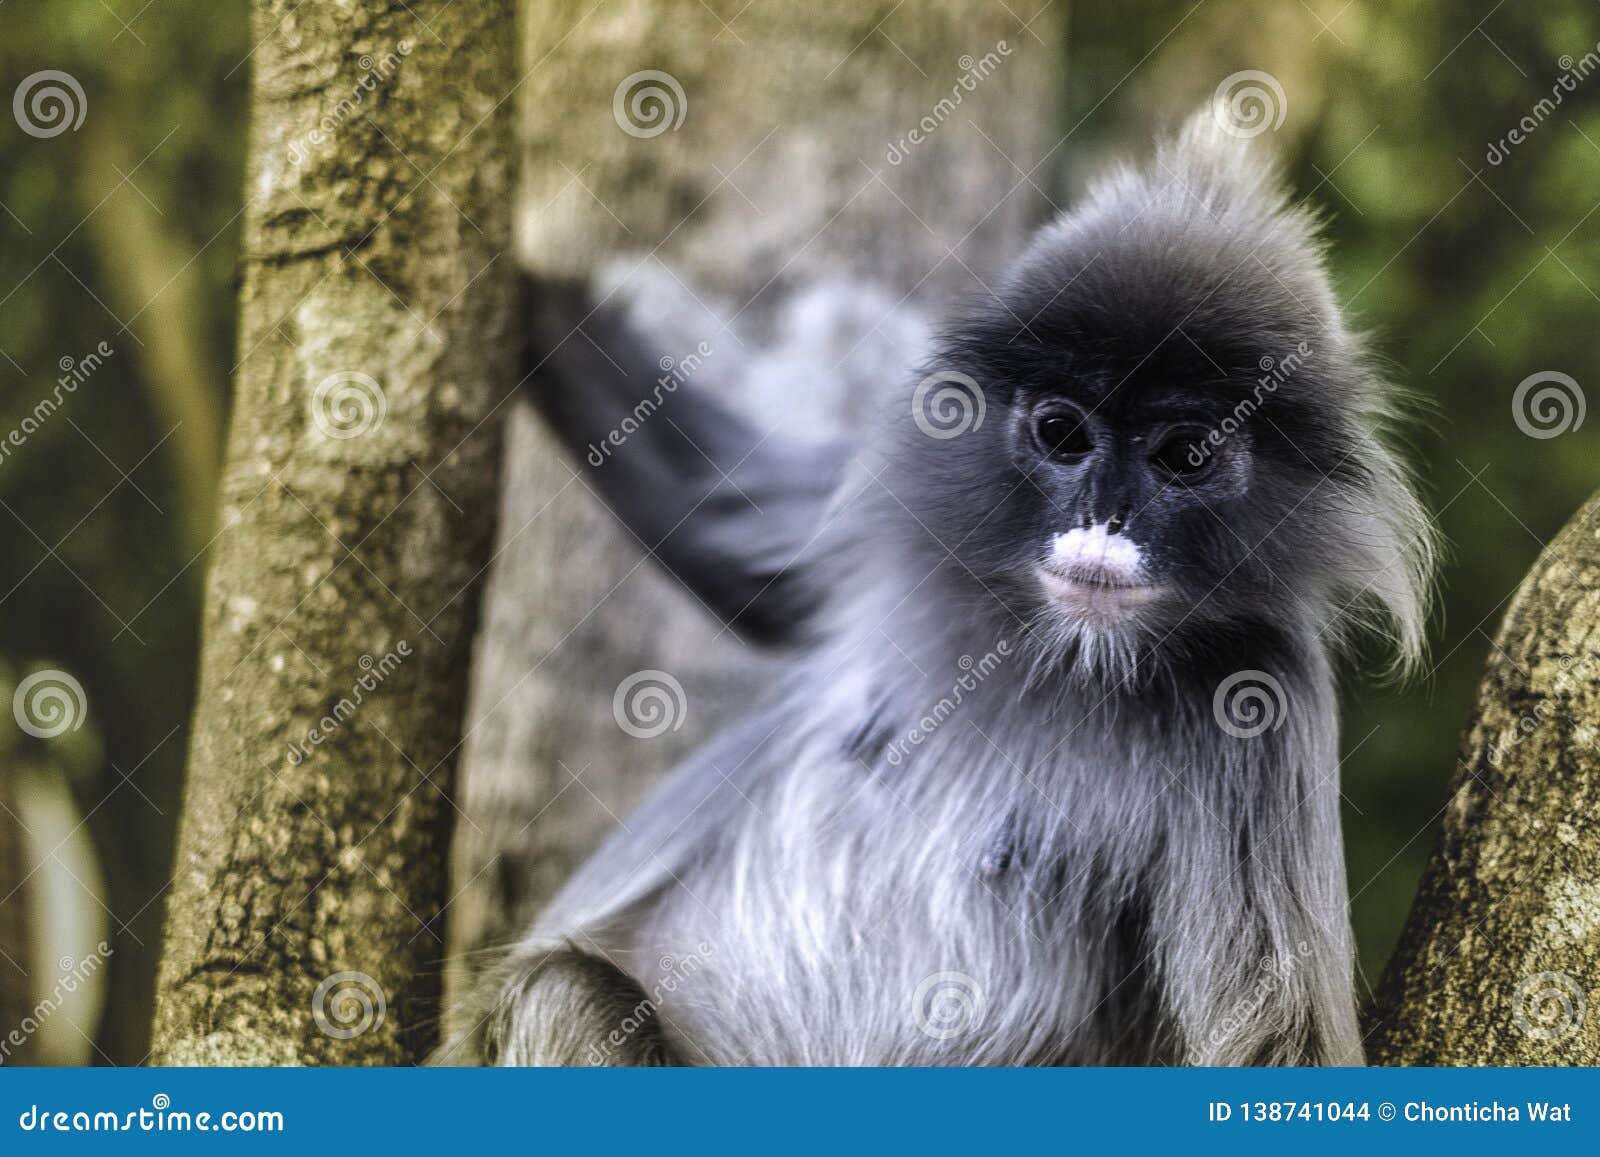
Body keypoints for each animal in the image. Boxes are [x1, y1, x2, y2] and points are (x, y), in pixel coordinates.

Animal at [456, 113, 1436, 1067]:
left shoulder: (1265, 690)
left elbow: (1274, 1043)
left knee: (565, 993)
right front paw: (523, 274)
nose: (1103, 517)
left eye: (1185, 455)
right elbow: (721, 530)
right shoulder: (891, 516)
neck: (1060, 652)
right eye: (1062, 432)